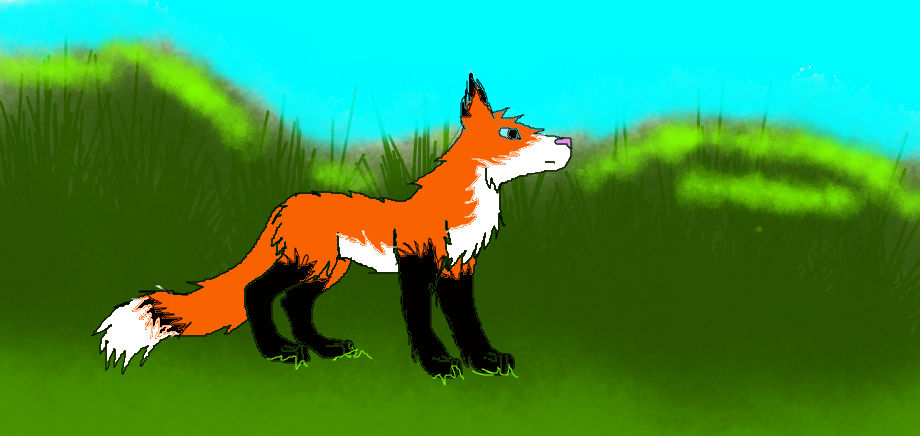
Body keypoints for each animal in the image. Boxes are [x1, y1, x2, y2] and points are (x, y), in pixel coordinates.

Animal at [96, 73, 572, 379]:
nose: (566, 143)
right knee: (256, 292)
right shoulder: (417, 267)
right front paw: (438, 365)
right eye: (511, 134)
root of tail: (286, 203)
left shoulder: (458, 271)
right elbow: (422, 321)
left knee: (295, 304)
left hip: (327, 268)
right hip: (306, 261)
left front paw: (485, 361)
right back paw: (280, 353)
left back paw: (325, 350)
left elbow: (468, 323)